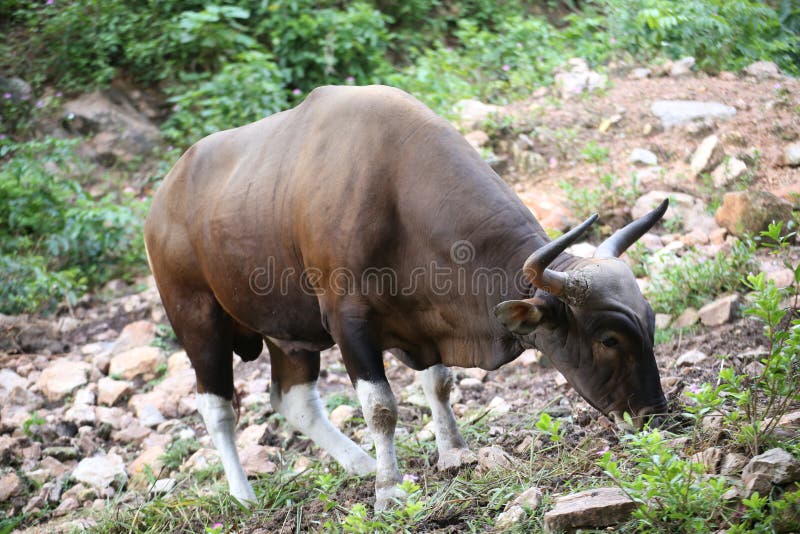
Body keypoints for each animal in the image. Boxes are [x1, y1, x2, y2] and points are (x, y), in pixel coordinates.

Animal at [144, 85, 669, 510]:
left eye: (650, 323)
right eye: (608, 339)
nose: (654, 413)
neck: (393, 192)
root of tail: (162, 201)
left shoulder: (427, 318)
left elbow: (439, 384)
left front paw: (453, 452)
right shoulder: (348, 322)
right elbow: (381, 408)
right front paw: (389, 489)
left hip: (286, 330)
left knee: (293, 398)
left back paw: (357, 462)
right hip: (197, 320)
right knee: (218, 409)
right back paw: (243, 495)